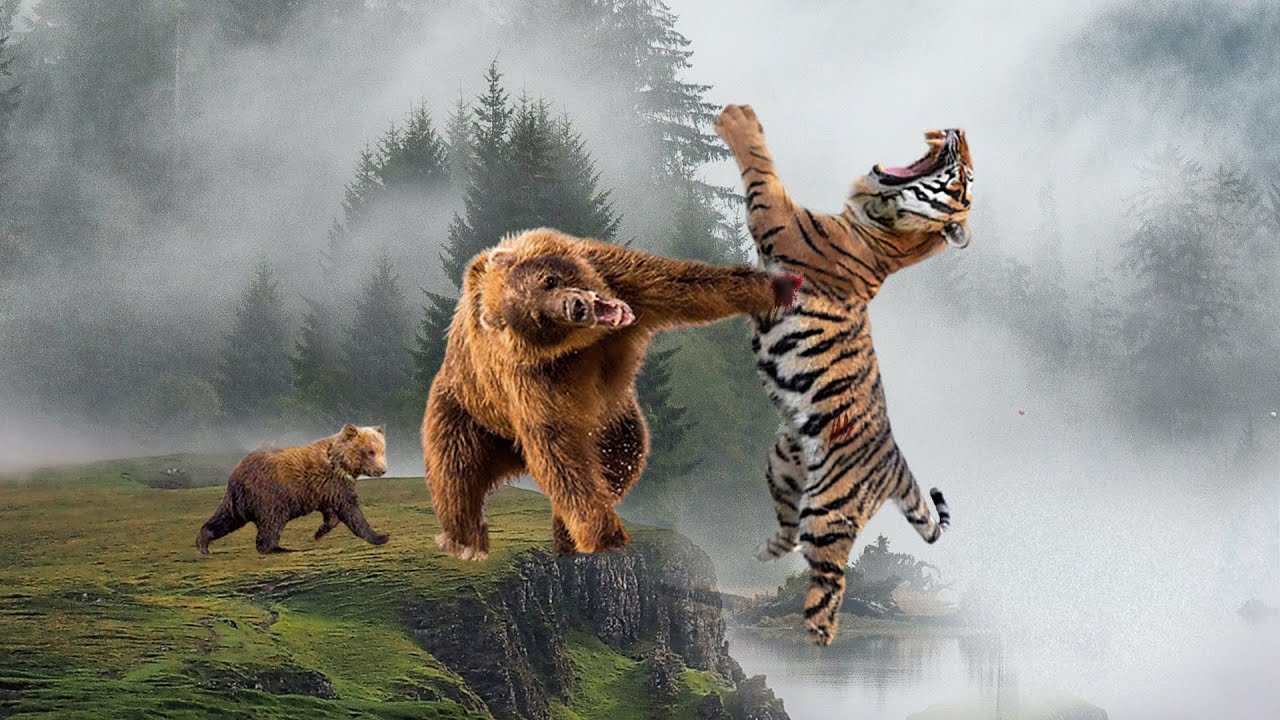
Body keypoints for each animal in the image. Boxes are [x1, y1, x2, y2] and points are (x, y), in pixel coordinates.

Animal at [196, 423, 390, 555]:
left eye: (382, 450)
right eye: (370, 452)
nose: (382, 470)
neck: (342, 463)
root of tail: (235, 474)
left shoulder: (325, 490)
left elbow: (332, 514)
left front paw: (319, 533)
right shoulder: (334, 483)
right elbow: (352, 512)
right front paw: (380, 536)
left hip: (238, 501)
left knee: (226, 518)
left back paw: (203, 544)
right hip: (270, 496)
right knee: (270, 524)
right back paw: (279, 548)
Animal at [422, 228, 801, 560]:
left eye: (549, 280)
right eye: (540, 318)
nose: (575, 306)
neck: (587, 343)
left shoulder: (622, 278)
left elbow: (690, 284)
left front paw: (777, 285)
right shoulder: (534, 380)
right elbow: (559, 449)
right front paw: (605, 535)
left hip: (613, 422)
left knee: (624, 456)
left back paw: (563, 533)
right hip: (467, 415)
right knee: (457, 476)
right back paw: (468, 543)